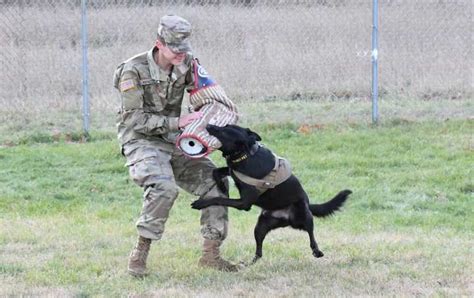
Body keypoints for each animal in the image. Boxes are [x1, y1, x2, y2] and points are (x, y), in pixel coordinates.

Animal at [190, 123, 352, 264]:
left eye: (224, 131)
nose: (208, 125)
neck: (246, 155)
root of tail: (287, 218)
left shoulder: (244, 203)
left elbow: (219, 199)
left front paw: (201, 203)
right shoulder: (233, 171)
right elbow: (217, 171)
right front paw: (222, 185)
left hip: (304, 215)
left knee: (311, 234)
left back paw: (317, 251)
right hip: (260, 226)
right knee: (259, 251)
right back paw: (250, 263)